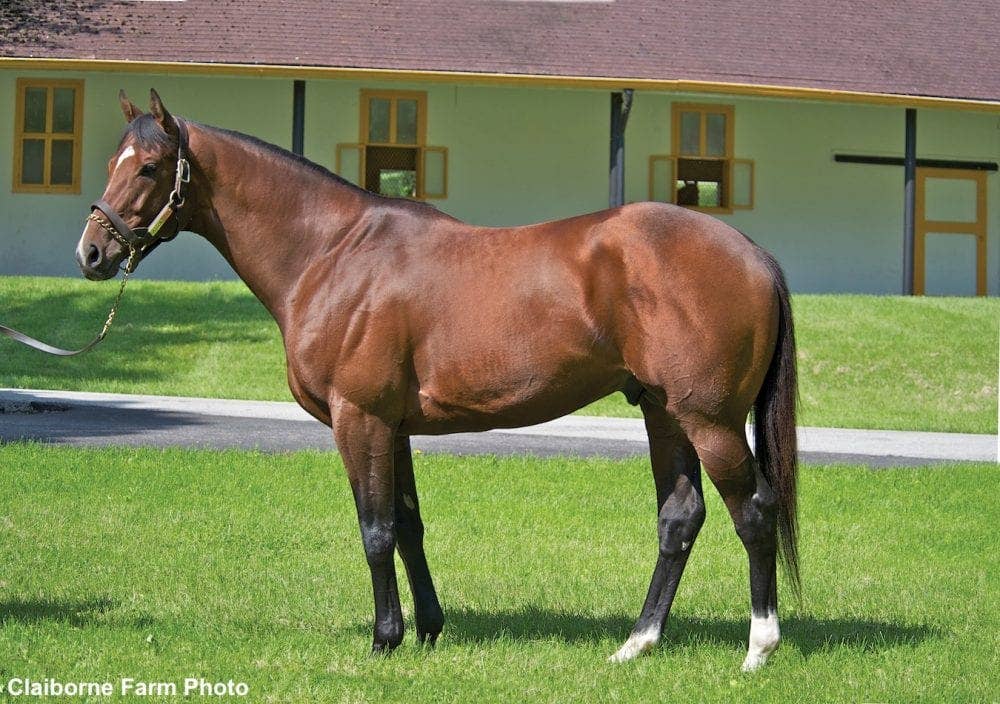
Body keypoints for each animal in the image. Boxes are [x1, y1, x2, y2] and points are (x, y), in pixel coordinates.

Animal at [76, 90, 800, 671]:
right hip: (663, 412)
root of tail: (755, 255)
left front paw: (383, 639)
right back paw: (638, 643)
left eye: (148, 166)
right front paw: (425, 630)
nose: (92, 251)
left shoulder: (359, 418)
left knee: (754, 512)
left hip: (708, 420)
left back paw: (758, 648)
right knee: (680, 517)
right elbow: (407, 525)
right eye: (114, 160)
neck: (332, 254)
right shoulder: (392, 427)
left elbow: (374, 530)